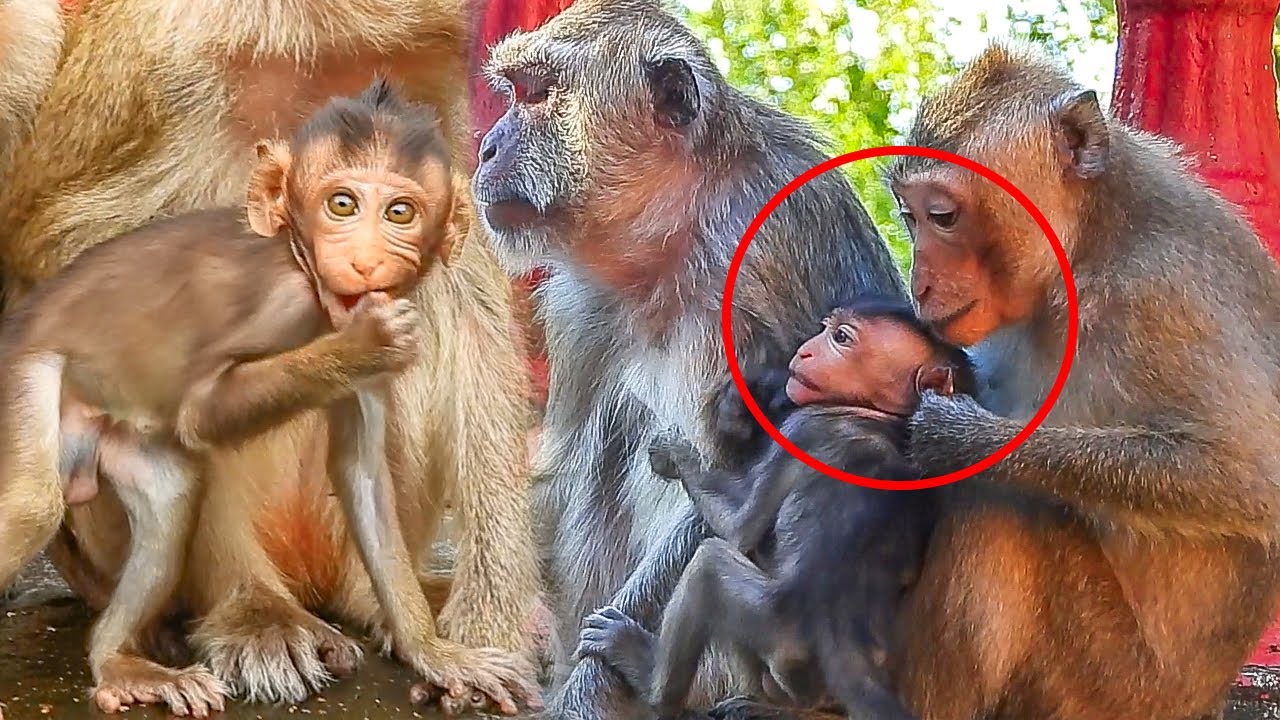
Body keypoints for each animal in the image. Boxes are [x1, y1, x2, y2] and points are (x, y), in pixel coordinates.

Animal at [0, 0, 546, 709]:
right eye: (339, 200)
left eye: (399, 207)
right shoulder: (170, 97)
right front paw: (252, 613)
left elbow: (468, 294)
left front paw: (487, 623)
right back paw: (250, 609)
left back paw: (373, 600)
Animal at [472, 1, 905, 716]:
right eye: (515, 91)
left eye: (537, 93)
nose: (486, 145)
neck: (678, 231)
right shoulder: (578, 304)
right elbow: (565, 467)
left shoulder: (778, 239)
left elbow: (739, 498)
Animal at [574, 297, 977, 720]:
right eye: (828, 330)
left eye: (841, 338)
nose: (806, 350)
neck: (879, 416)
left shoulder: (801, 428)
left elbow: (740, 528)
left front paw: (674, 454)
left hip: (778, 638)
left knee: (709, 567)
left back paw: (648, 673)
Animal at [871, 42, 1280, 720]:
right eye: (910, 217)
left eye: (943, 216)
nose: (919, 280)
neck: (1088, 245)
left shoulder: (1163, 296)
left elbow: (1252, 478)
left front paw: (959, 439)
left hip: (1111, 688)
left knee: (1001, 512)